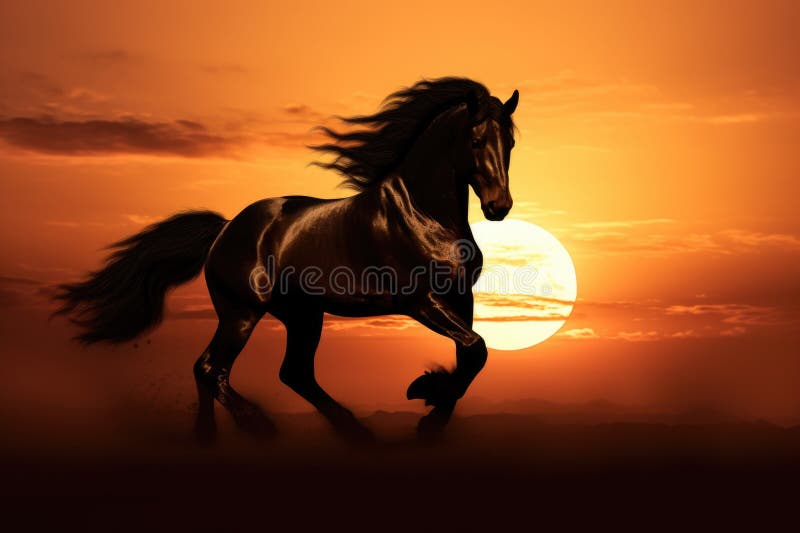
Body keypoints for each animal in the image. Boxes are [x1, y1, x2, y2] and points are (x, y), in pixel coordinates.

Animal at [55, 77, 519, 442]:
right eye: (476, 141)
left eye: (511, 143)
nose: (499, 207)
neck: (423, 213)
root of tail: (225, 229)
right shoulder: (419, 300)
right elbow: (476, 348)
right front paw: (423, 391)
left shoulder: (461, 299)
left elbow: (472, 355)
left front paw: (432, 412)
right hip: (242, 313)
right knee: (211, 368)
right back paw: (255, 426)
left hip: (302, 315)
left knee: (291, 373)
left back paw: (349, 433)